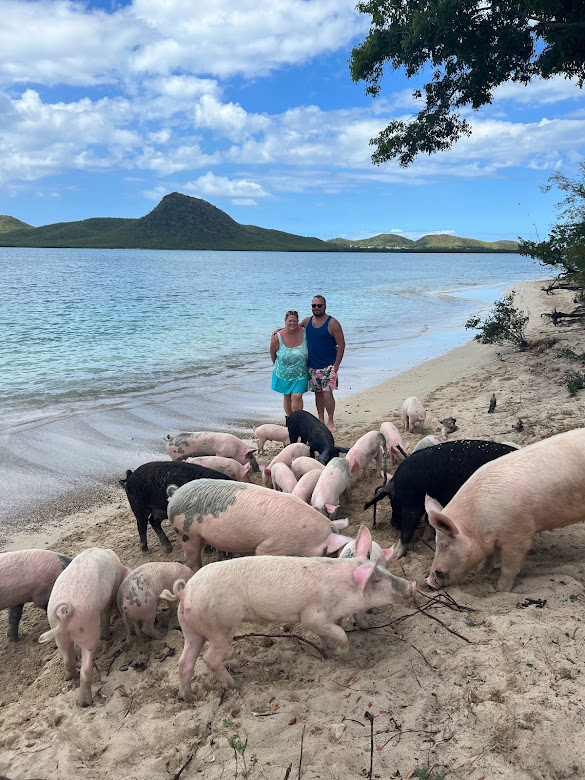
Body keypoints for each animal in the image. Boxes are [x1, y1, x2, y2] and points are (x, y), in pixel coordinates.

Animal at [39, 548, 131, 707]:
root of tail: (65, 611)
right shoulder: (111, 594)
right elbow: (106, 613)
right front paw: (107, 637)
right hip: (87, 628)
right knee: (86, 669)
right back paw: (85, 702)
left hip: (59, 633)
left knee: (68, 659)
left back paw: (70, 678)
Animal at [160, 526, 416, 699]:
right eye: (376, 579)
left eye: (384, 570)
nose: (412, 585)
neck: (341, 591)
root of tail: (185, 593)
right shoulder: (312, 616)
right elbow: (337, 632)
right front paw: (342, 653)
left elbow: (327, 635)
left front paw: (328, 652)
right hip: (221, 626)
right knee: (210, 658)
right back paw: (235, 685)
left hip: (191, 629)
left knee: (184, 662)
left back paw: (190, 697)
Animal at [167, 479, 351, 571]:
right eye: (330, 553)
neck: (308, 538)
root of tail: (175, 493)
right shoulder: (272, 546)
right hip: (185, 533)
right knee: (191, 559)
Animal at [364, 440, 517, 558]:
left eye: (393, 502)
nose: (393, 524)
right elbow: (428, 519)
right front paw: (427, 537)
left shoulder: (412, 506)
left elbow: (408, 529)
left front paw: (396, 556)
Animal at [426, 428, 585, 592]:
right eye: (436, 542)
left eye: (444, 545)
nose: (429, 581)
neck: (478, 522)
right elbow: (490, 557)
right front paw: (481, 572)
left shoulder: (519, 535)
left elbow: (509, 567)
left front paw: (500, 590)